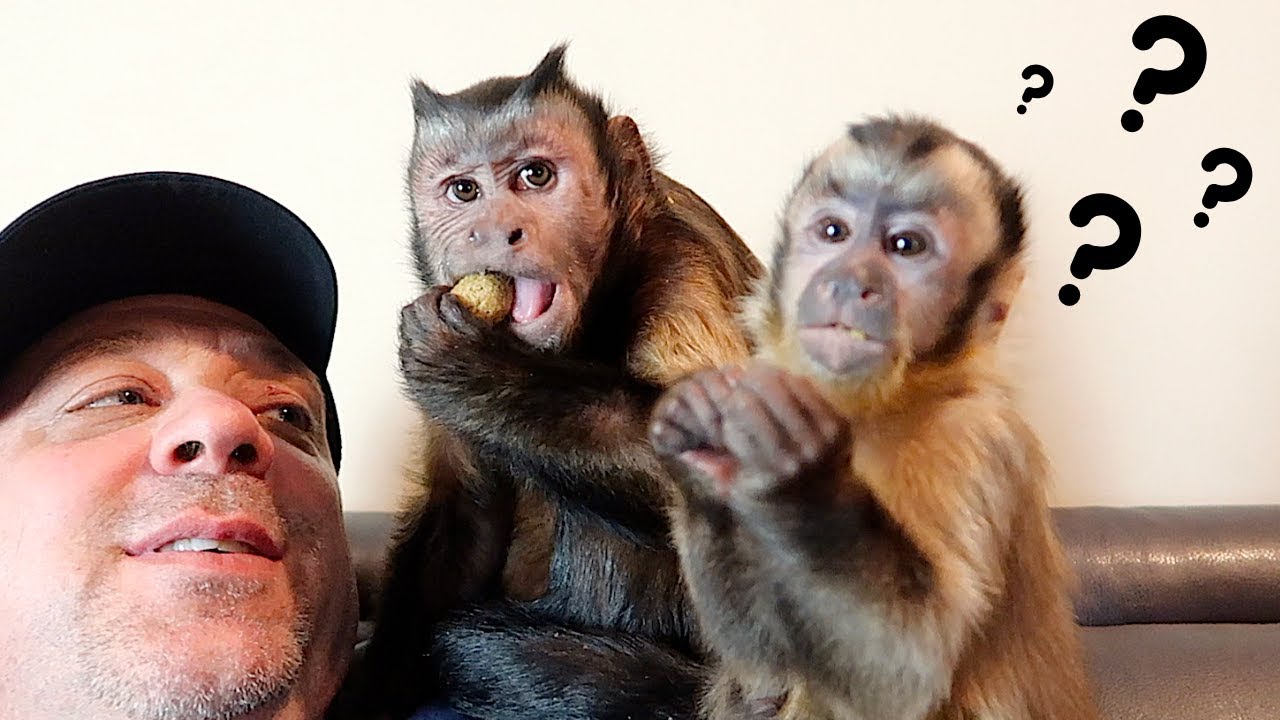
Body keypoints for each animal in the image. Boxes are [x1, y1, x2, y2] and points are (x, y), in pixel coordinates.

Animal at [346, 45, 764, 720]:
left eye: (535, 176)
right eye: (464, 190)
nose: (495, 230)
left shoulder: (681, 267)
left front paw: (477, 366)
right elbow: (463, 519)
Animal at [648, 116, 1099, 720]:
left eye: (905, 246)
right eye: (833, 232)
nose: (848, 281)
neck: (880, 408)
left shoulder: (974, 441)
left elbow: (908, 671)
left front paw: (804, 480)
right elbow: (764, 672)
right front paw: (700, 463)